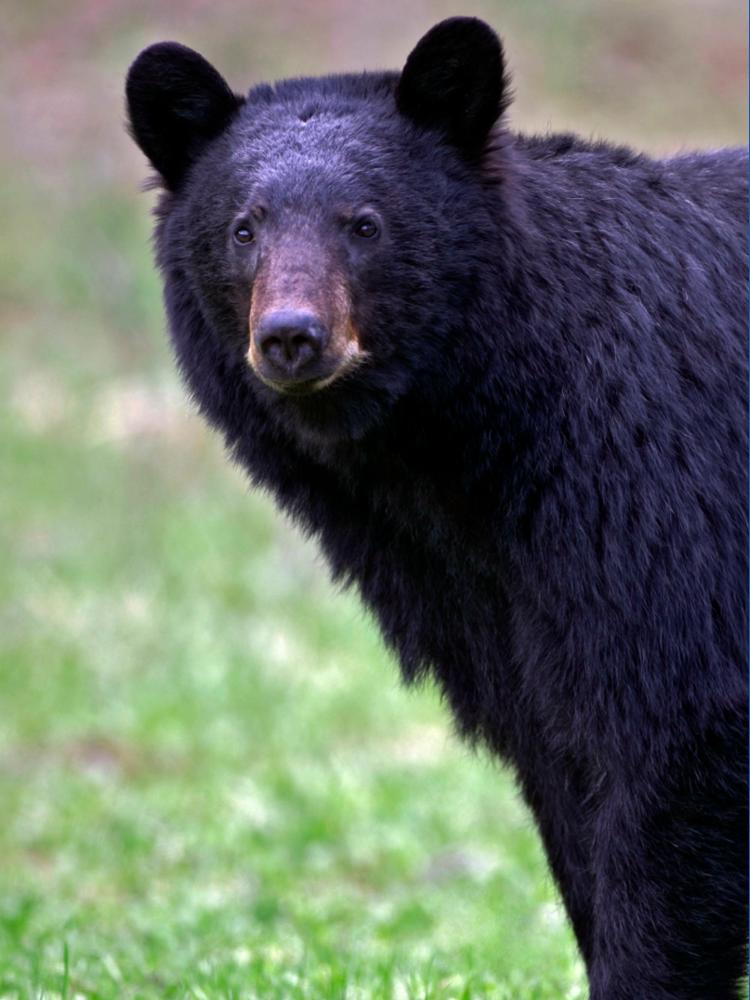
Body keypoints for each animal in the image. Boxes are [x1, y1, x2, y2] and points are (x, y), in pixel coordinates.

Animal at [125, 17, 748, 999]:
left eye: (365, 223)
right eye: (242, 228)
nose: (291, 337)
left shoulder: (666, 490)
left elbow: (681, 731)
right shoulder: (485, 605)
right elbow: (563, 774)